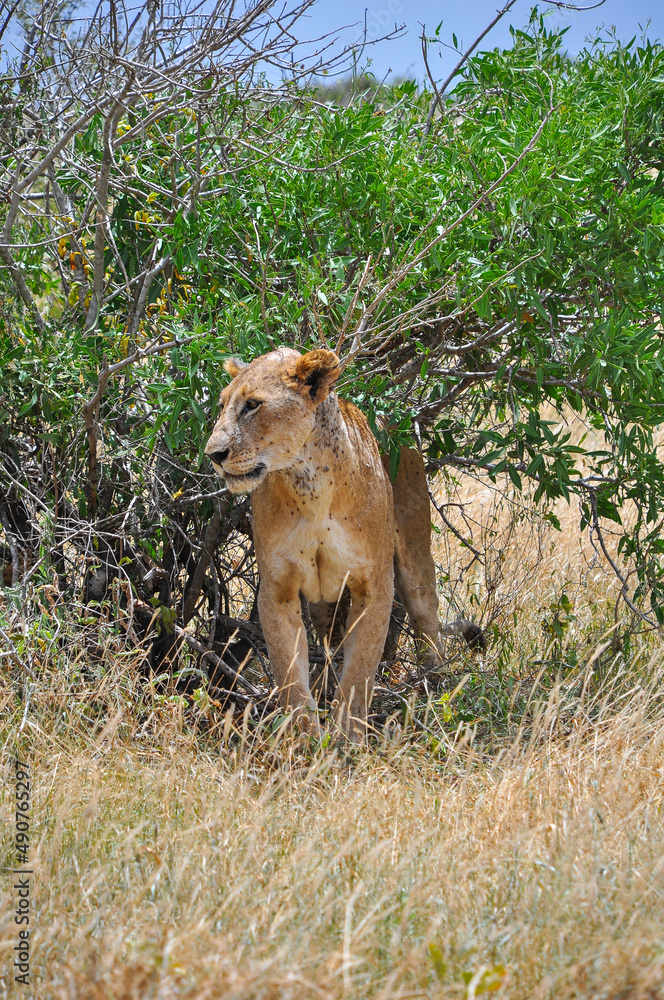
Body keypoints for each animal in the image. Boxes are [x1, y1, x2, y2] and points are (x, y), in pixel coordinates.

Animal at [205, 347, 482, 741]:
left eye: (253, 405)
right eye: (223, 404)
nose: (213, 454)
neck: (310, 487)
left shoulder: (374, 585)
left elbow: (359, 670)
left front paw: (346, 738)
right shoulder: (278, 589)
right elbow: (290, 673)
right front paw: (304, 738)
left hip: (415, 560)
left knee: (427, 624)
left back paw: (435, 696)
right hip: (323, 601)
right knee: (327, 642)